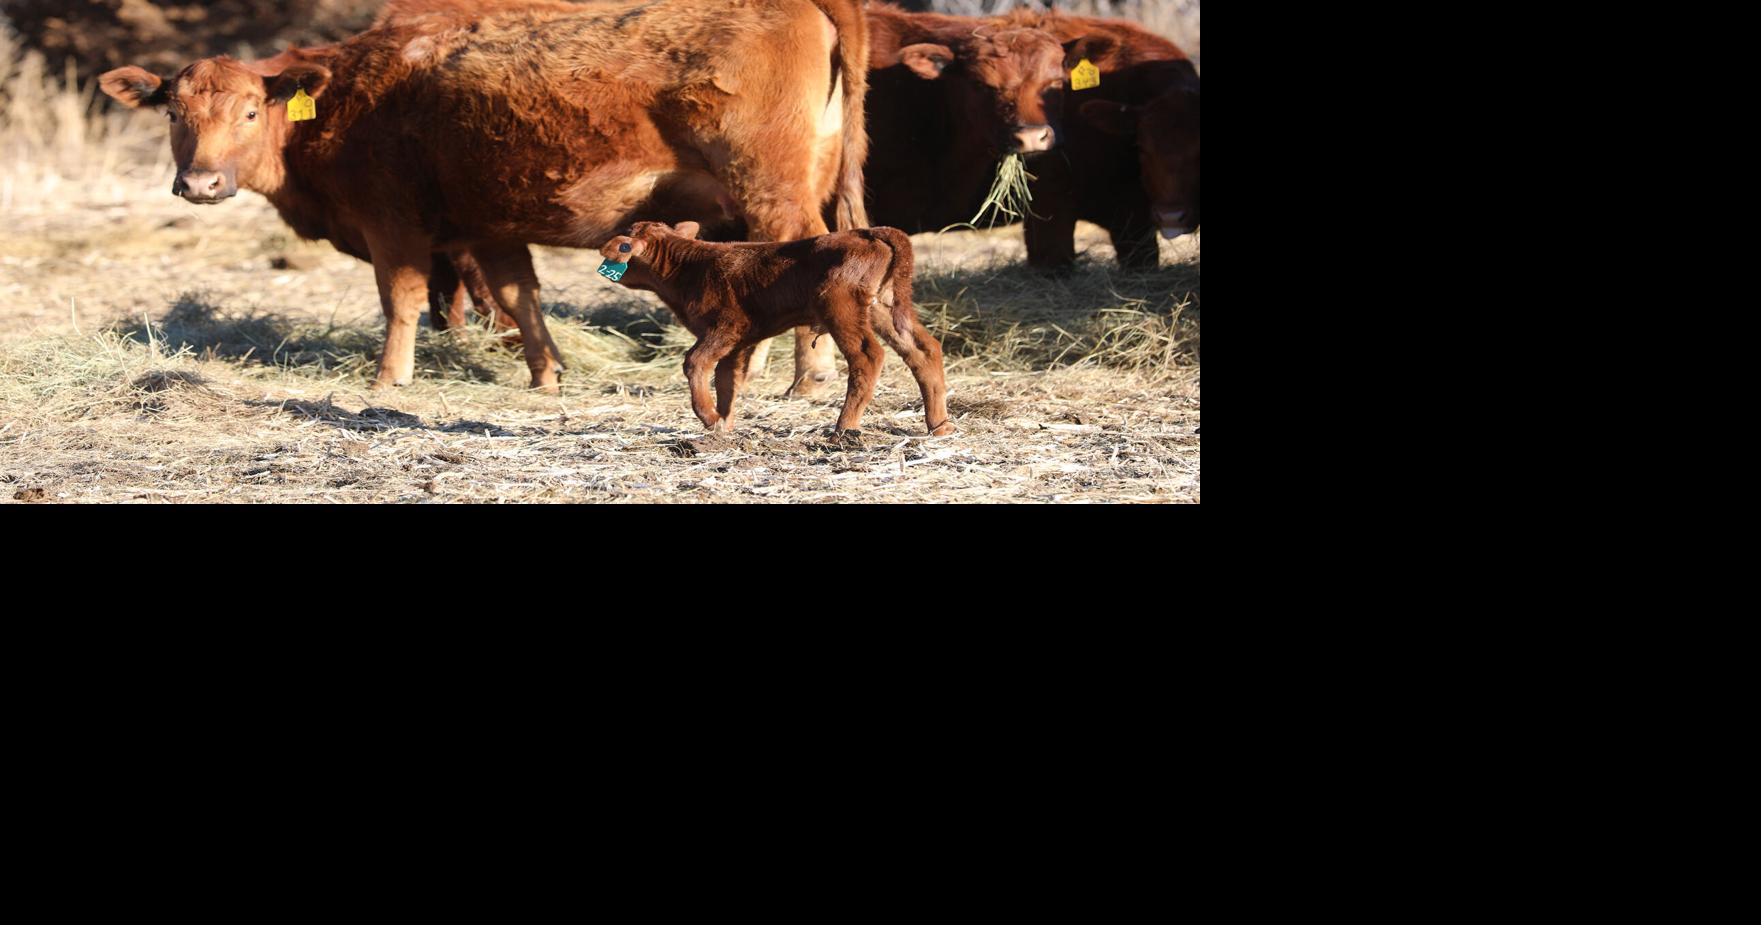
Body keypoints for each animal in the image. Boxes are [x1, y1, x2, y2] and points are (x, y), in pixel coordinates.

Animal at [100, 0, 871, 395]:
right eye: (174, 113)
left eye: (249, 112)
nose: (200, 183)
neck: (353, 95)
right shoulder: (491, 227)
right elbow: (518, 297)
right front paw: (546, 375)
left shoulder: (393, 224)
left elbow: (403, 301)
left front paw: (388, 379)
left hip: (770, 190)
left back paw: (808, 379)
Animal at [598, 221, 952, 436]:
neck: (688, 267)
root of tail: (869, 231)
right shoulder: (736, 342)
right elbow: (727, 379)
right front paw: (724, 424)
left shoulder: (725, 326)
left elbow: (695, 362)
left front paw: (709, 418)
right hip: (883, 306)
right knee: (923, 350)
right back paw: (939, 426)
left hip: (841, 306)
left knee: (867, 356)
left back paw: (843, 427)